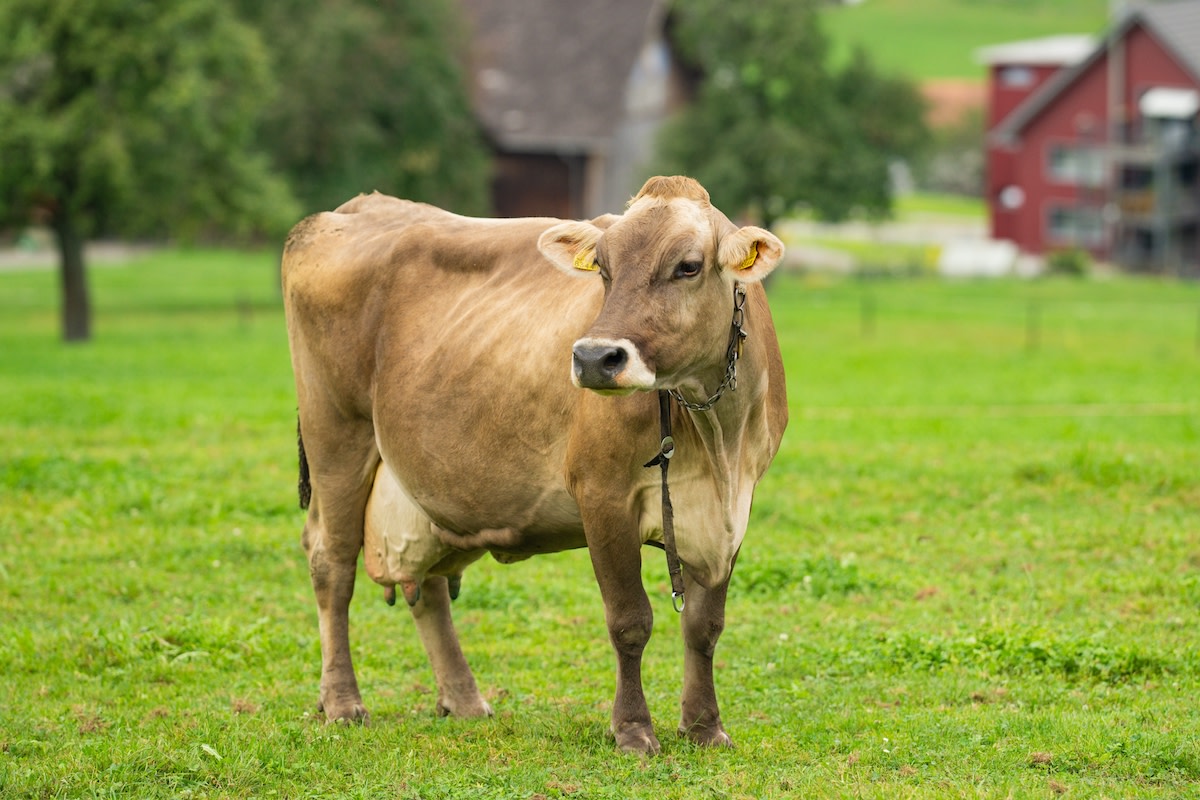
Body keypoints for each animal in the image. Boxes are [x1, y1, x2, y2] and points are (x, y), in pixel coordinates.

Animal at [282, 175, 787, 754]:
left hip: (428, 478)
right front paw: (633, 730)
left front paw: (705, 727)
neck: (718, 437)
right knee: (332, 565)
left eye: (688, 265)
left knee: (426, 584)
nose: (593, 358)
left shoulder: (732, 509)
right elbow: (630, 621)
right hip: (336, 436)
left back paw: (464, 700)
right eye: (604, 269)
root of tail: (349, 209)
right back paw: (343, 702)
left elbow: (705, 625)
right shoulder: (602, 495)